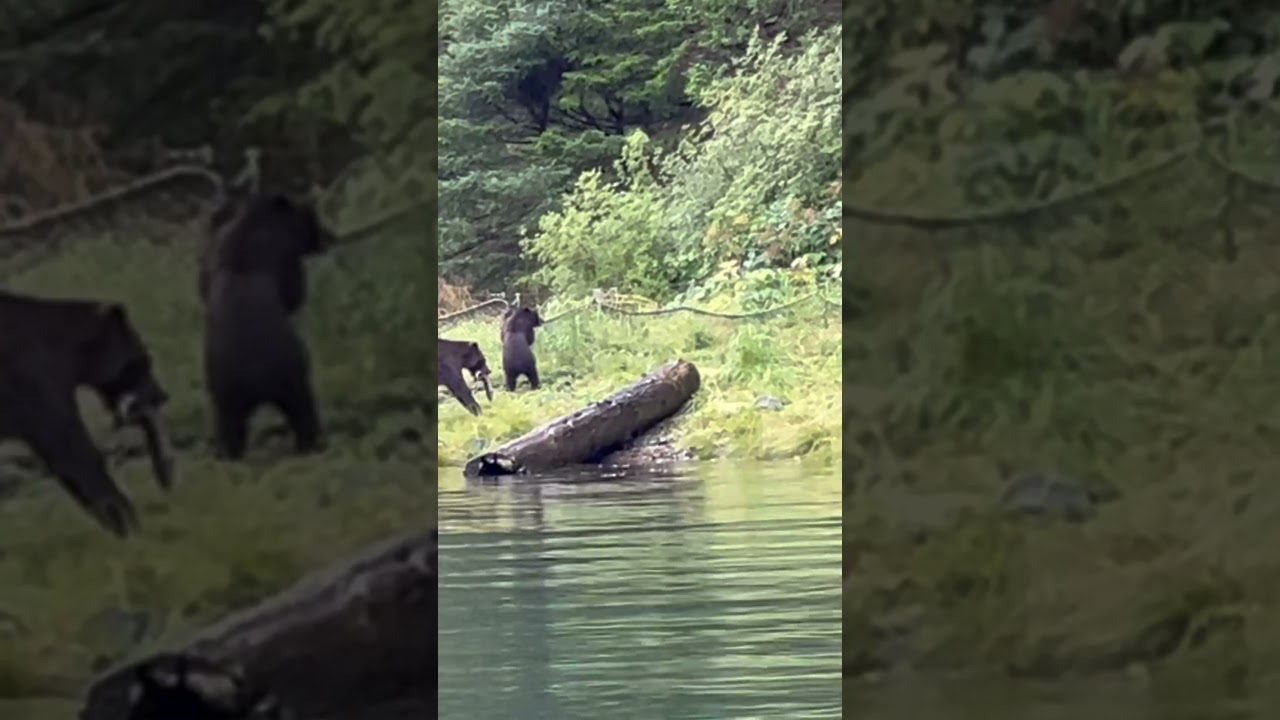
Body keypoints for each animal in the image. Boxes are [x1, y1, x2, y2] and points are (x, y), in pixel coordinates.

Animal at [198, 193, 334, 459]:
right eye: (313, 215)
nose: (331, 235)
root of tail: (256, 381)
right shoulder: (279, 254)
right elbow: (294, 288)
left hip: (225, 395)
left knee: (228, 428)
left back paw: (228, 454)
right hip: (292, 374)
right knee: (304, 408)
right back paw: (313, 443)